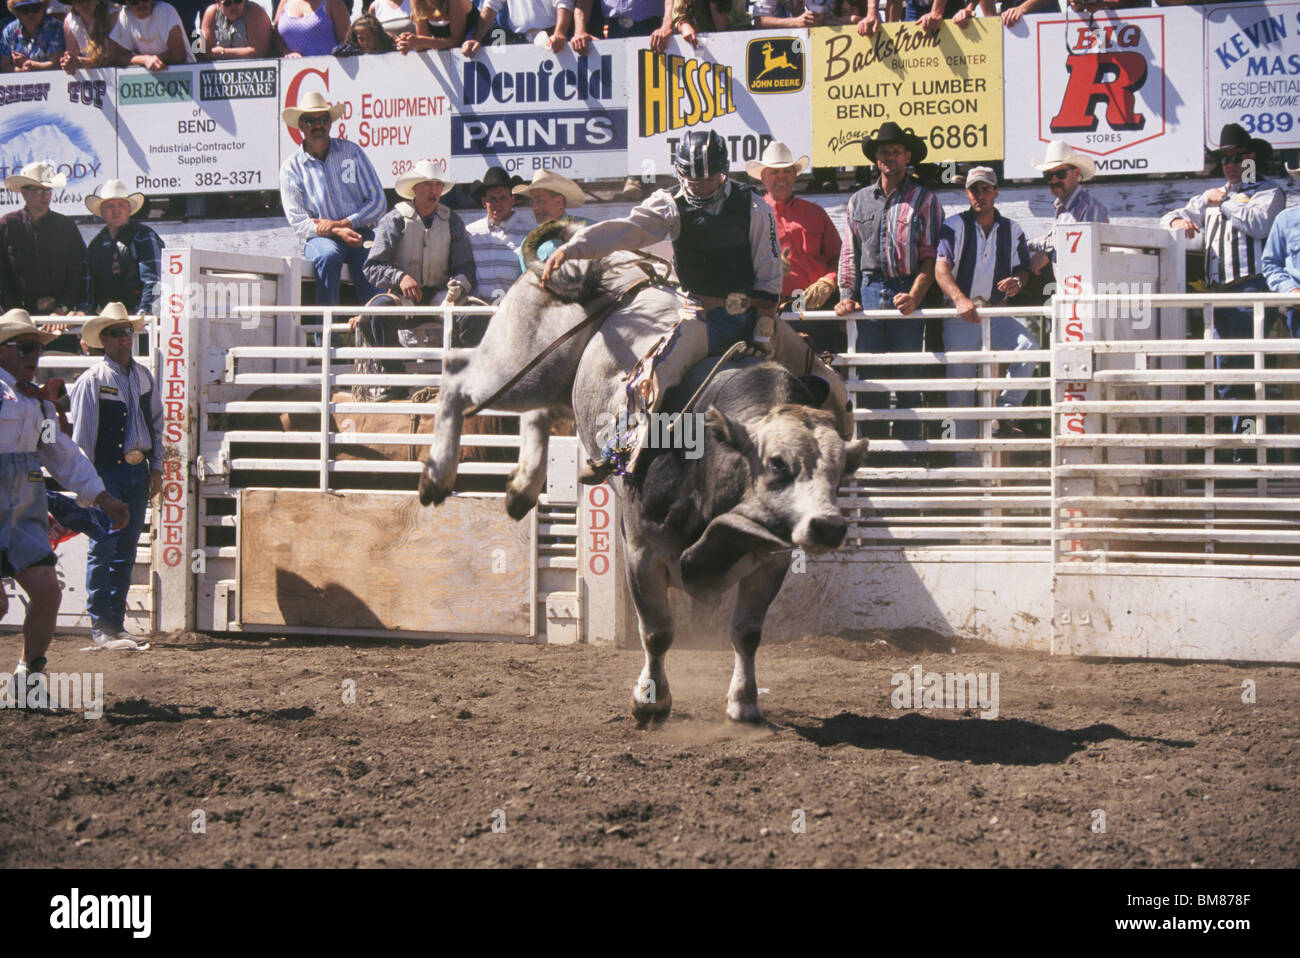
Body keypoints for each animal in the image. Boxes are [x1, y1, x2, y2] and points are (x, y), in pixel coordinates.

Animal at [419, 223, 867, 723]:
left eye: (840, 470)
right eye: (776, 463)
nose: (828, 526)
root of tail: (607, 266)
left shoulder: (770, 560)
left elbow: (747, 633)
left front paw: (744, 703)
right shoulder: (642, 549)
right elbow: (657, 631)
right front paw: (651, 700)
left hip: (550, 381)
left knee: (535, 414)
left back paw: (522, 488)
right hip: (517, 367)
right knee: (456, 379)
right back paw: (437, 475)